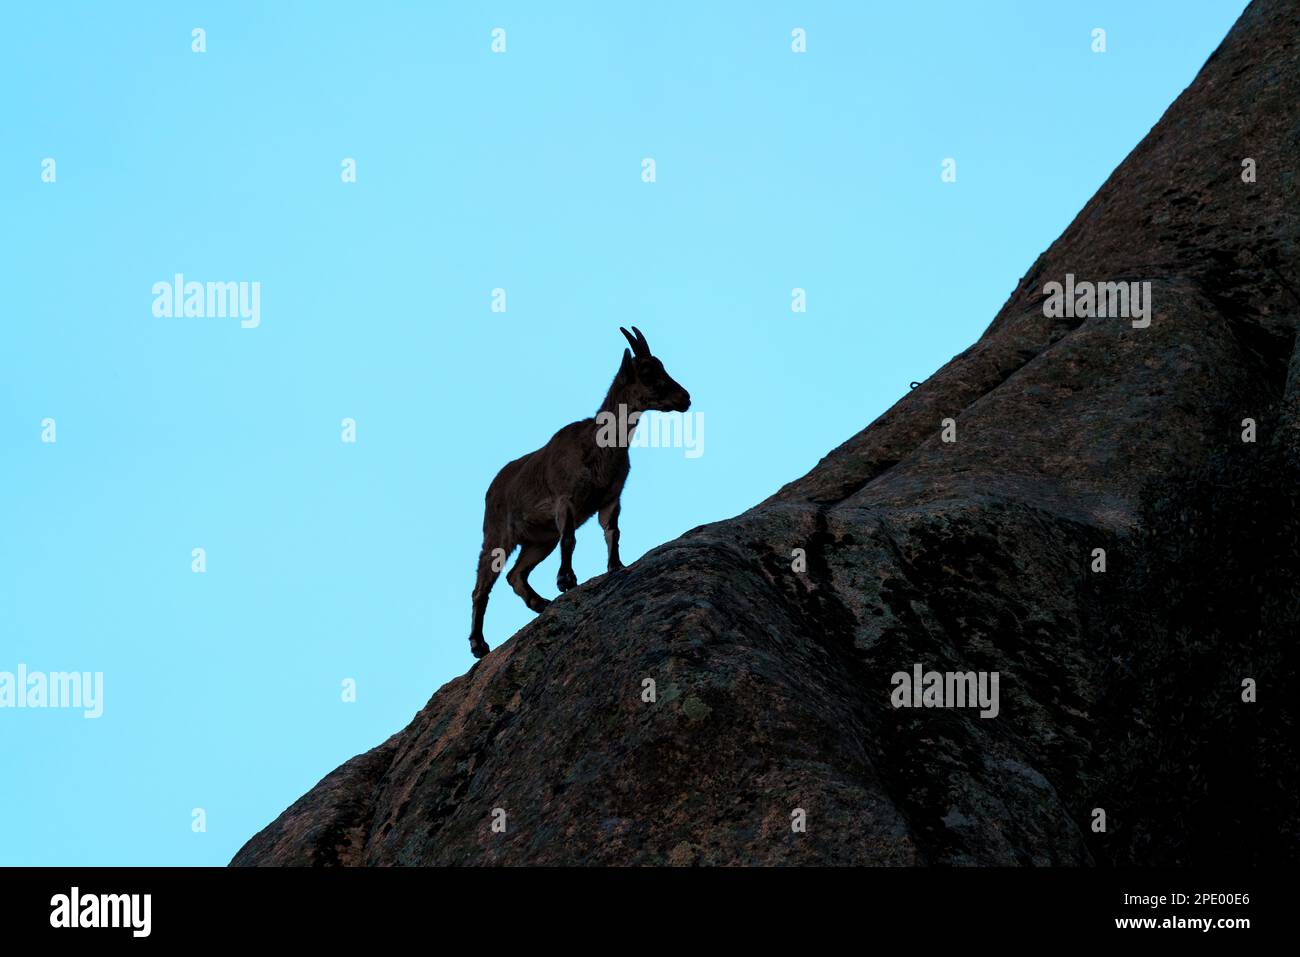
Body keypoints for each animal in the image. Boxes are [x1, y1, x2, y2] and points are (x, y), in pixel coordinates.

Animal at [467, 326, 691, 658]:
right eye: (648, 373)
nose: (685, 398)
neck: (600, 445)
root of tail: (493, 486)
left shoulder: (611, 498)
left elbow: (613, 532)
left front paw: (615, 566)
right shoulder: (566, 499)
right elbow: (570, 539)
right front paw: (566, 580)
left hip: (539, 540)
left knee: (515, 575)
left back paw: (539, 603)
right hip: (498, 534)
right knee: (482, 584)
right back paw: (478, 644)